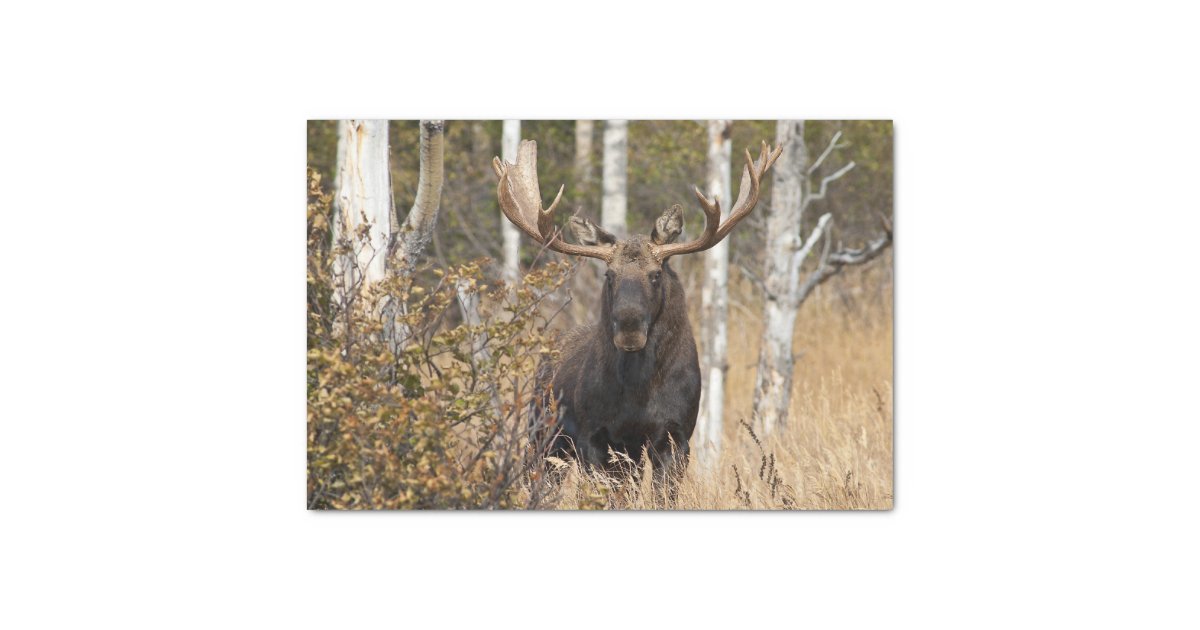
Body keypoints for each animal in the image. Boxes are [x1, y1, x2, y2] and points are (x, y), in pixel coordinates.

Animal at [493, 139, 782, 503]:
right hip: (543, 434)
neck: (638, 393)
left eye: (655, 274)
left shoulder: (676, 437)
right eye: (609, 275)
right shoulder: (595, 437)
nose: (629, 328)